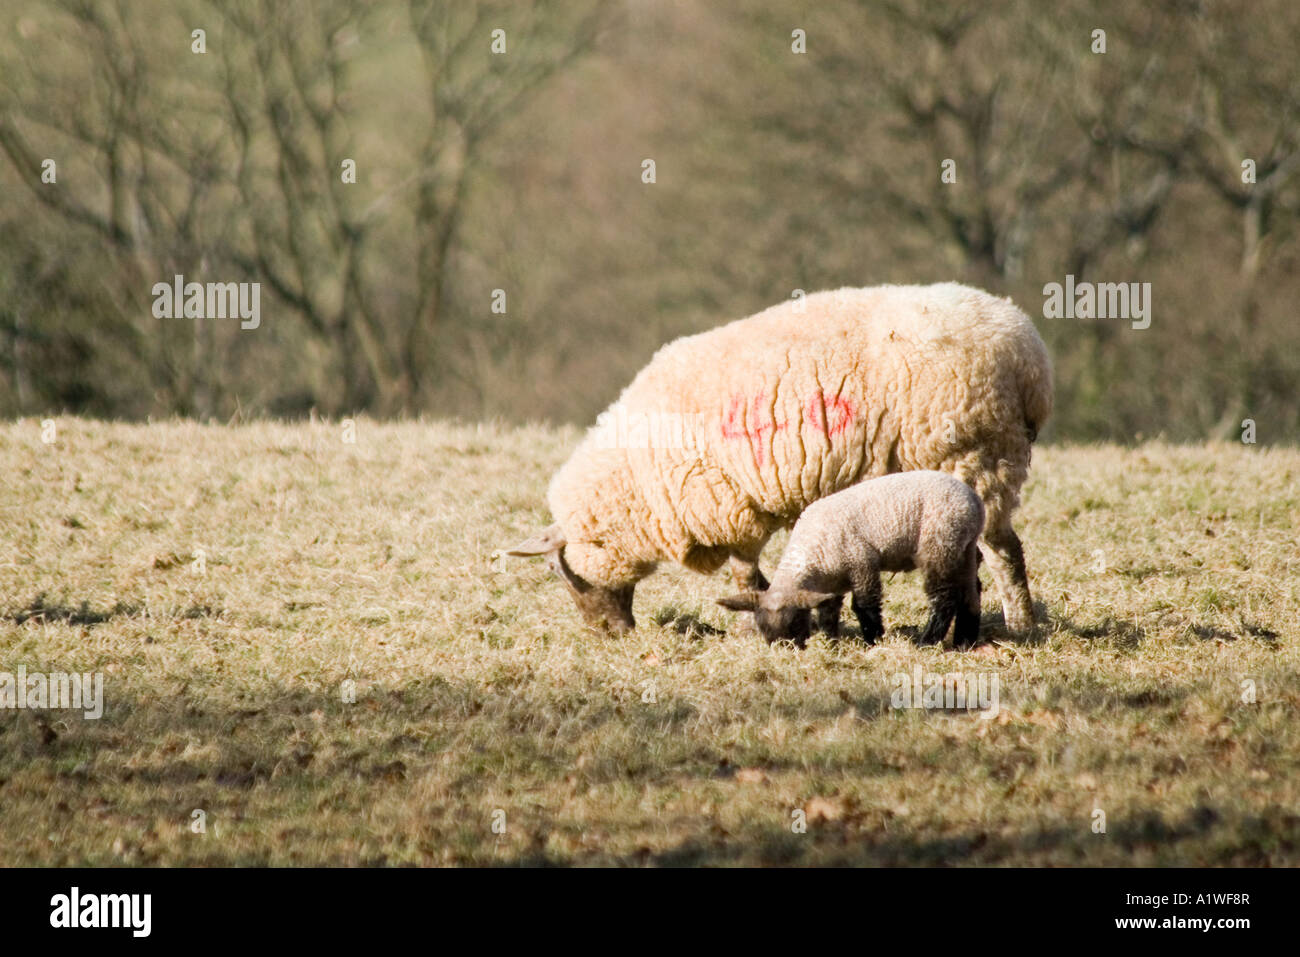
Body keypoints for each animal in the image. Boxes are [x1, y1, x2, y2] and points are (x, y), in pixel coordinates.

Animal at [716, 471, 986, 648]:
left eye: (795, 623)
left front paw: (873, 641)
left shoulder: (861, 564)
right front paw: (831, 643)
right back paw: (965, 641)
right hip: (963, 547)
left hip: (939, 544)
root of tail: (974, 500)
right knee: (971, 592)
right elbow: (828, 611)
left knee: (944, 596)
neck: (809, 552)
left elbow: (865, 605)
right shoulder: (830, 584)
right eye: (762, 628)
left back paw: (928, 641)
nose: (785, 651)